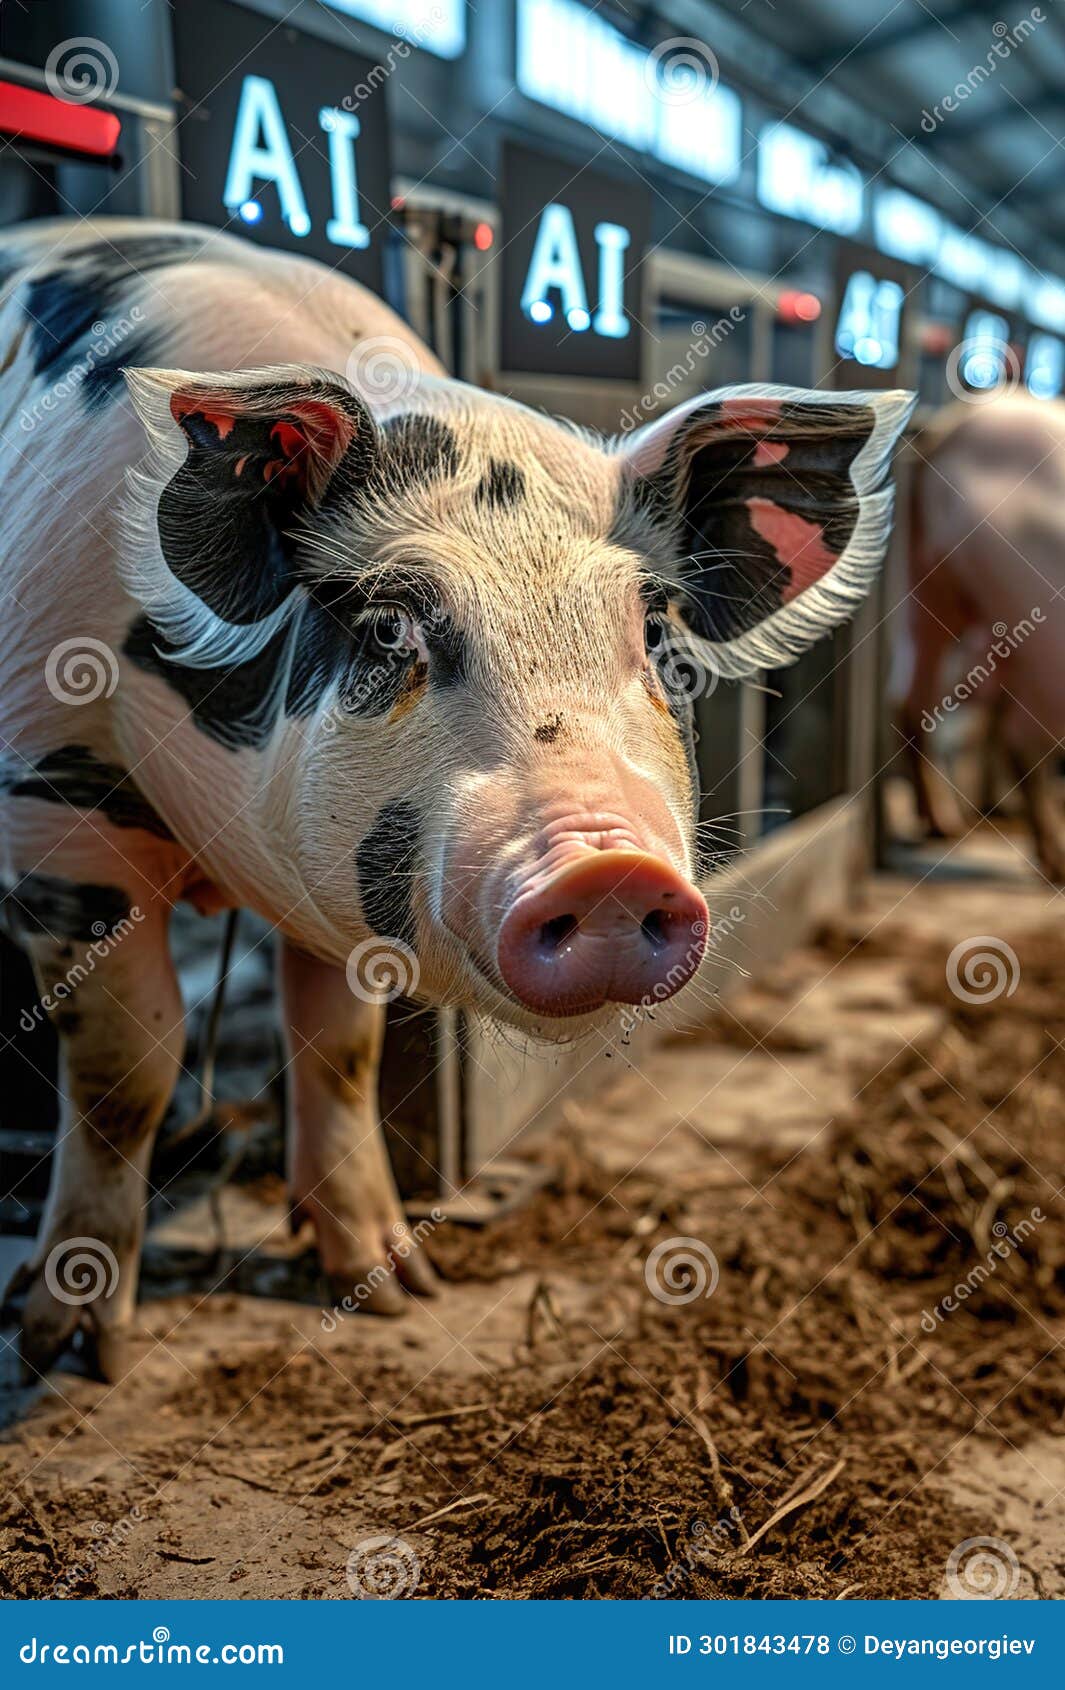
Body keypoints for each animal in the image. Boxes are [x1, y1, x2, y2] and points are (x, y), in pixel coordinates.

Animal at [0, 218, 913, 1378]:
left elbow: (338, 1051)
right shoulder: (53, 801)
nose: (610, 868)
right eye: (390, 628)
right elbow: (126, 1071)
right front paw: (73, 1351)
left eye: (656, 632)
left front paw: (392, 1288)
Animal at [898, 394, 1065, 879]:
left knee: (911, 701)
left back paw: (944, 825)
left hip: (925, 584)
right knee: (1020, 737)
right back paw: (1055, 863)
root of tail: (955, 426)